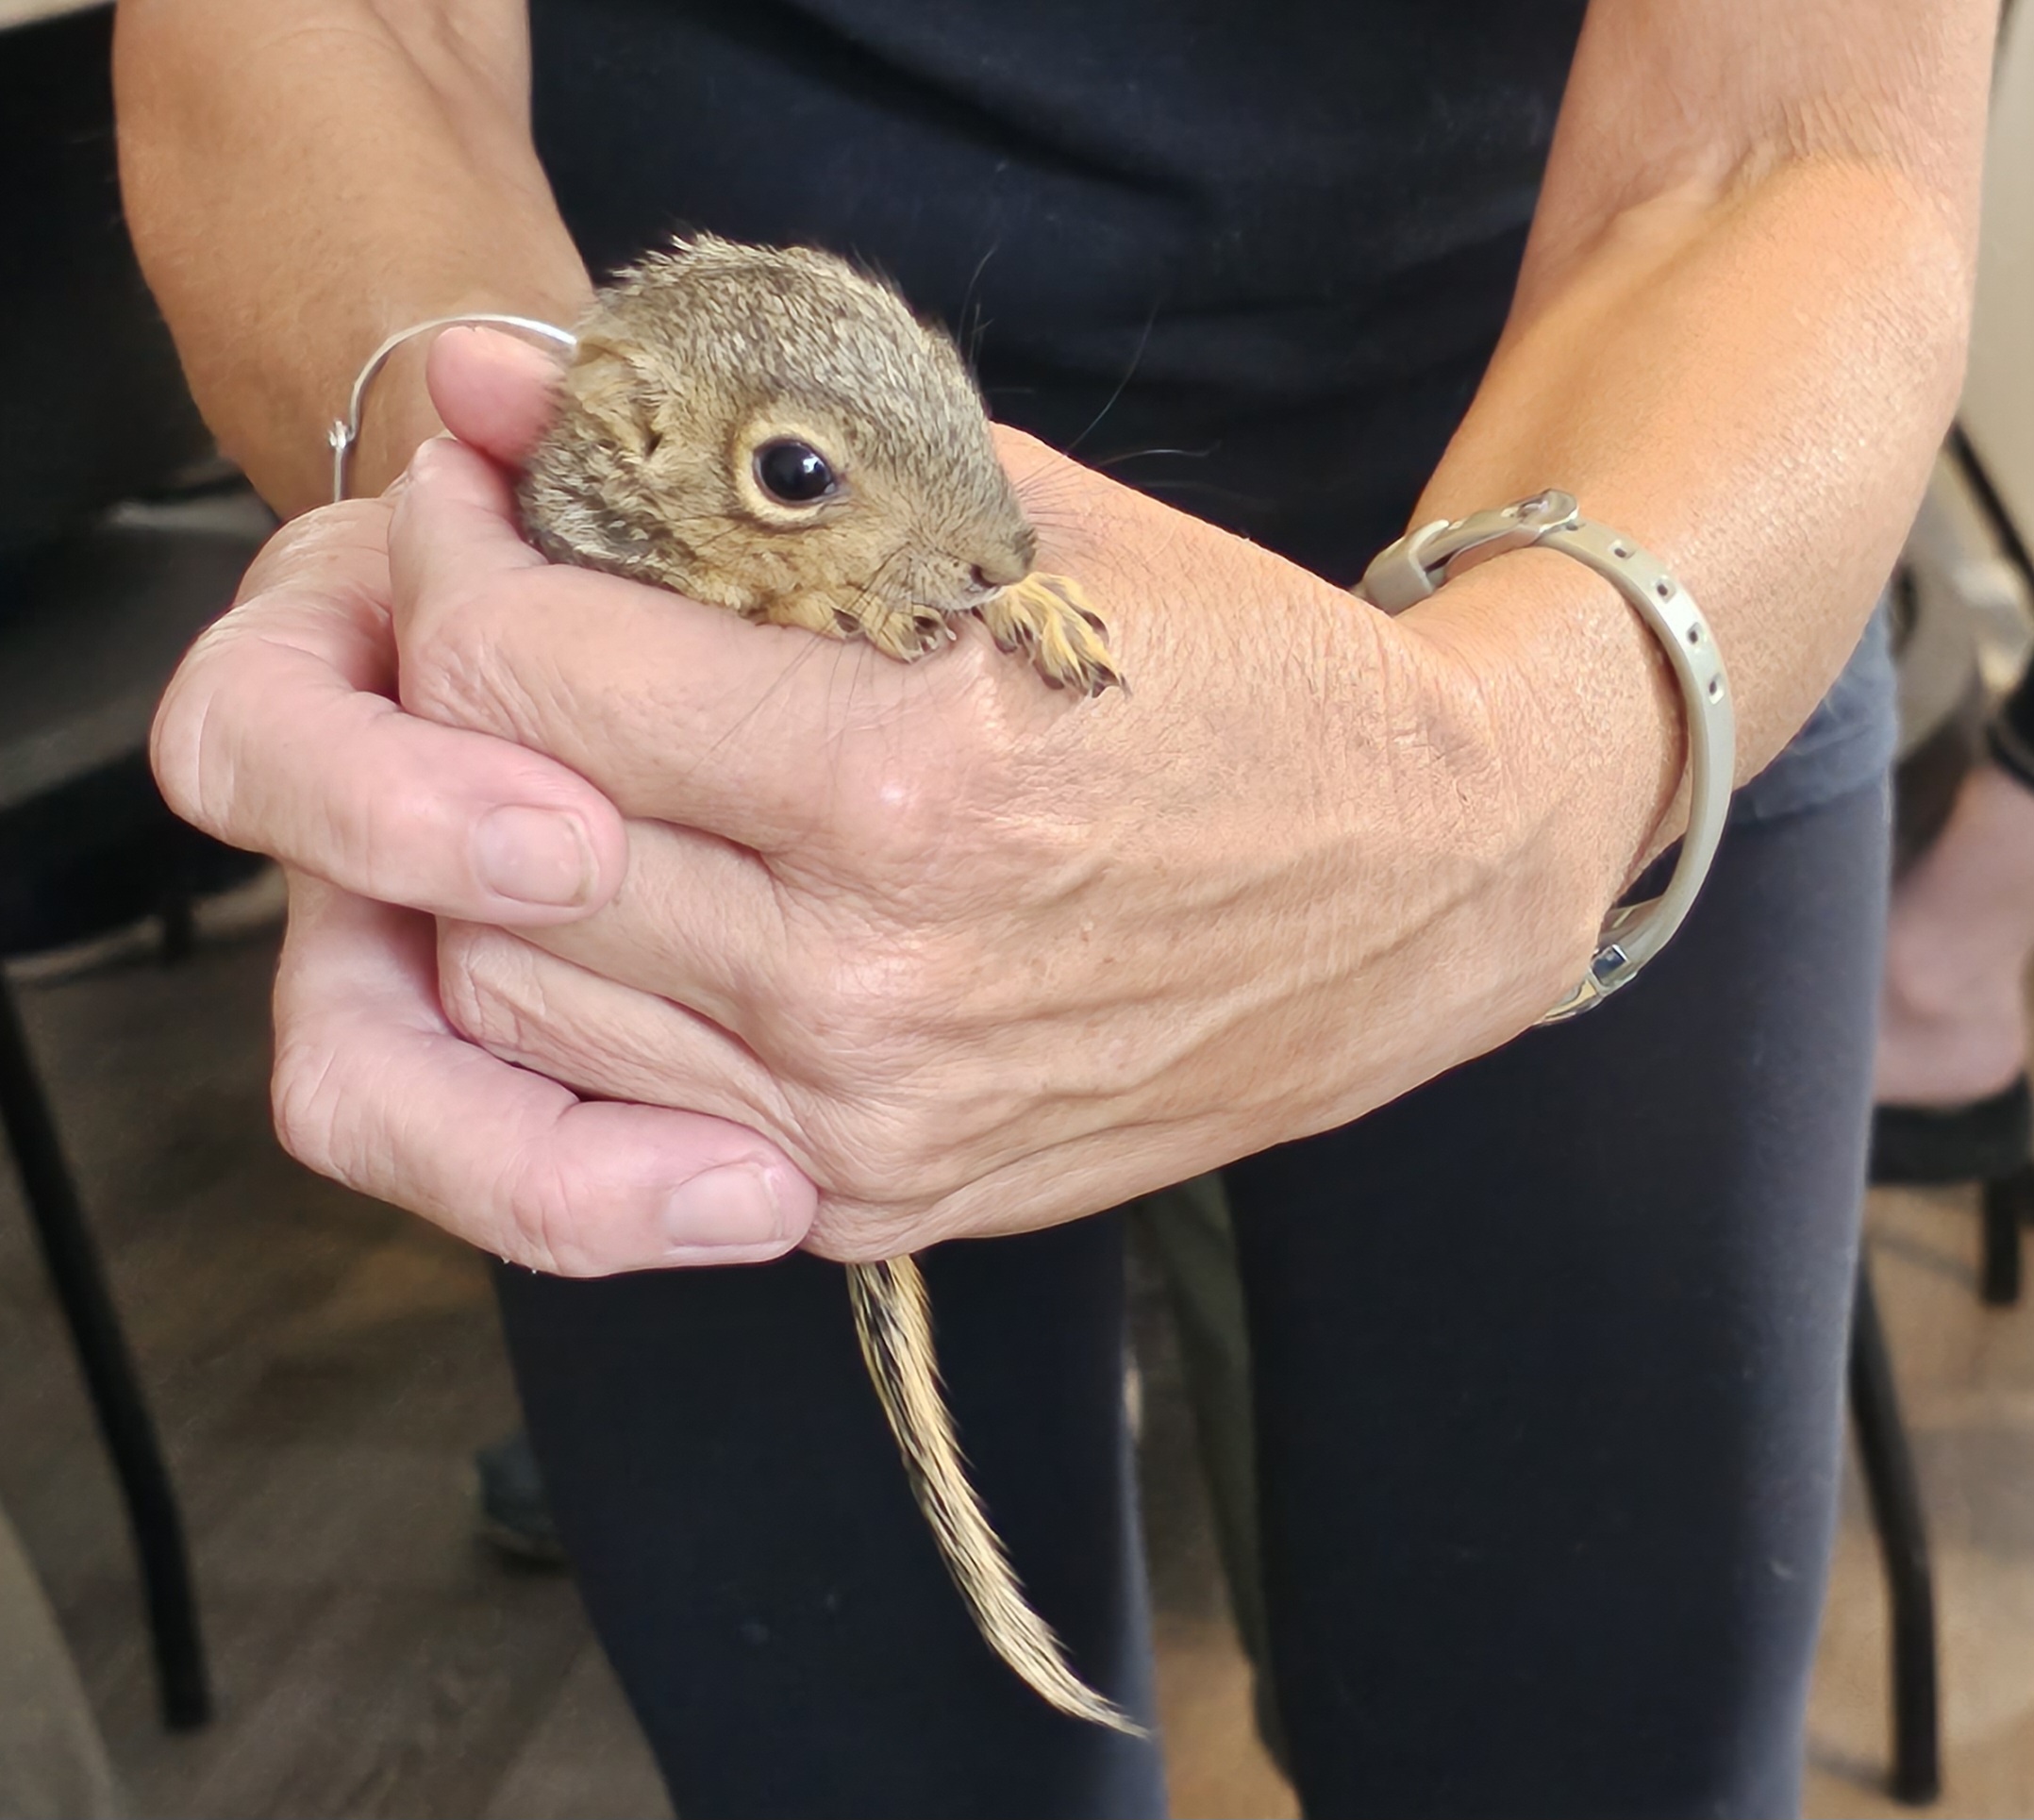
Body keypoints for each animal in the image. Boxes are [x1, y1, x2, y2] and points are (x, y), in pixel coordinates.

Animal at [517, 234, 1137, 1734]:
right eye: (794, 473)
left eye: (954, 369)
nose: (1004, 554)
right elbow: (762, 599)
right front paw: (852, 598)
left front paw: (1032, 604)